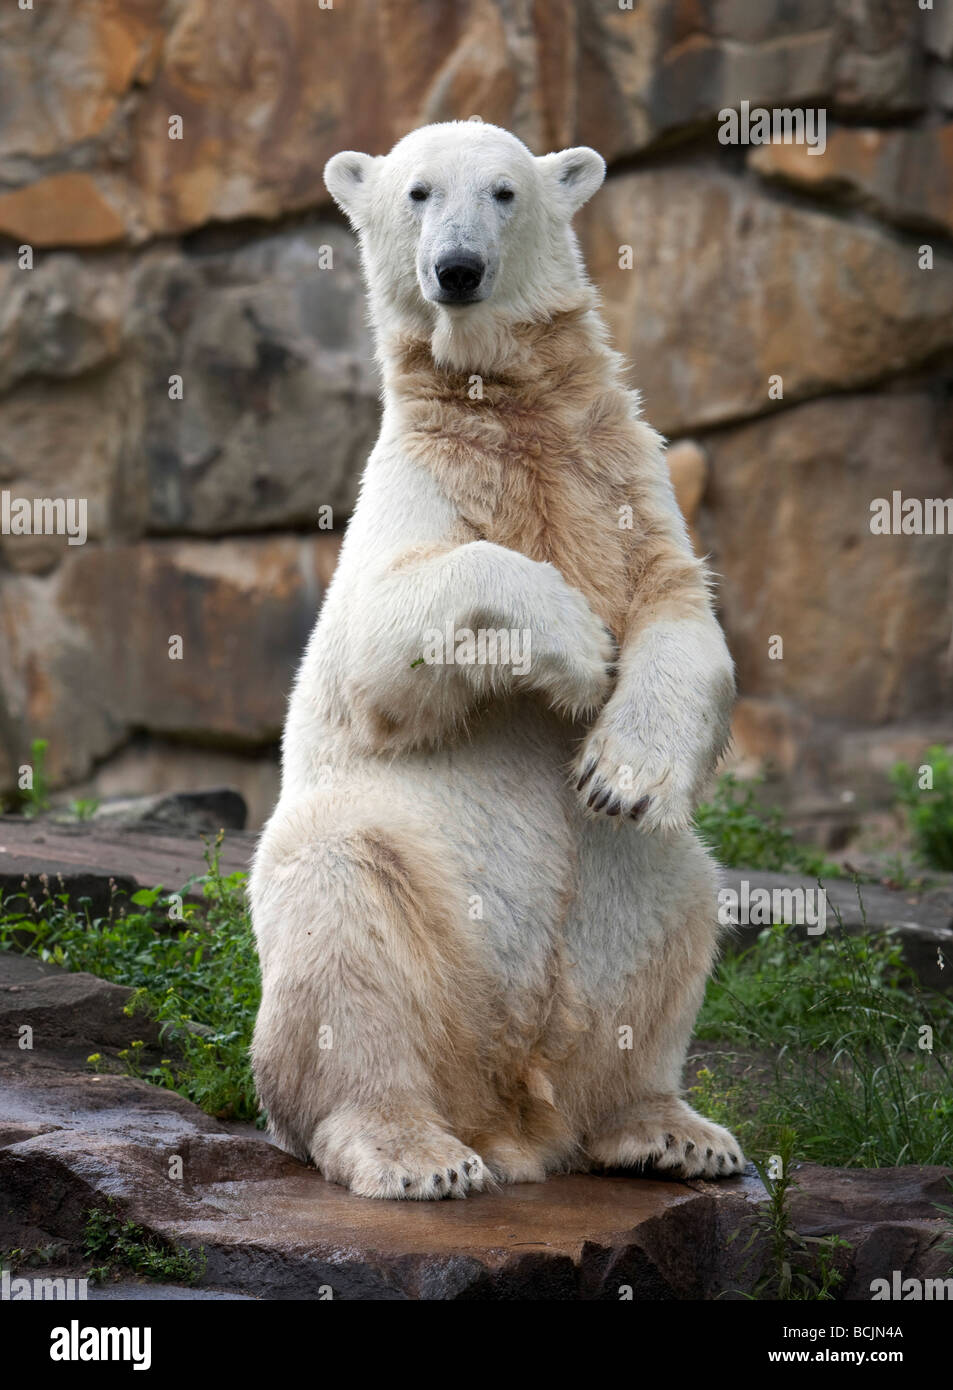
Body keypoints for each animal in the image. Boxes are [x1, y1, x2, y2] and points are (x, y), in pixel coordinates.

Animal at [249, 119, 744, 1199]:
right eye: (418, 192)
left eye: (505, 192)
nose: (457, 268)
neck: (511, 414)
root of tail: (510, 1109)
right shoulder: (413, 493)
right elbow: (379, 638)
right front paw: (577, 652)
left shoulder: (622, 478)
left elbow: (683, 619)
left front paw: (616, 771)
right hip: (402, 899)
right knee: (340, 930)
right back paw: (412, 1152)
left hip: (612, 930)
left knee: (678, 904)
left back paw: (666, 1131)